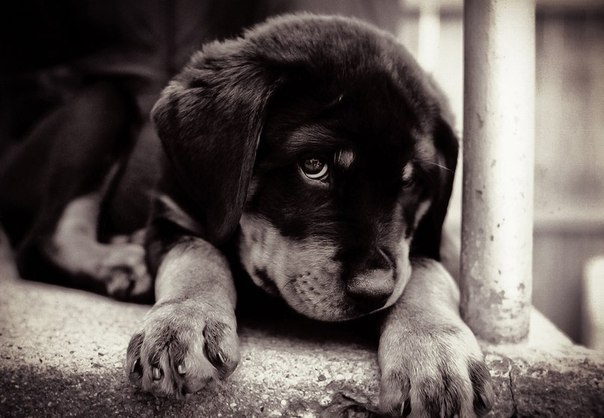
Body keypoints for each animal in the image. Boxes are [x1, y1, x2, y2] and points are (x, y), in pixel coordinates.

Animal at [0, 14, 493, 417]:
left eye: (411, 183)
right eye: (313, 165)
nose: (374, 292)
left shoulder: (433, 242)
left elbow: (424, 270)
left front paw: (434, 354)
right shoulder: (169, 216)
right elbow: (197, 257)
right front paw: (184, 323)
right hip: (103, 102)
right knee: (41, 240)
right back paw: (123, 265)